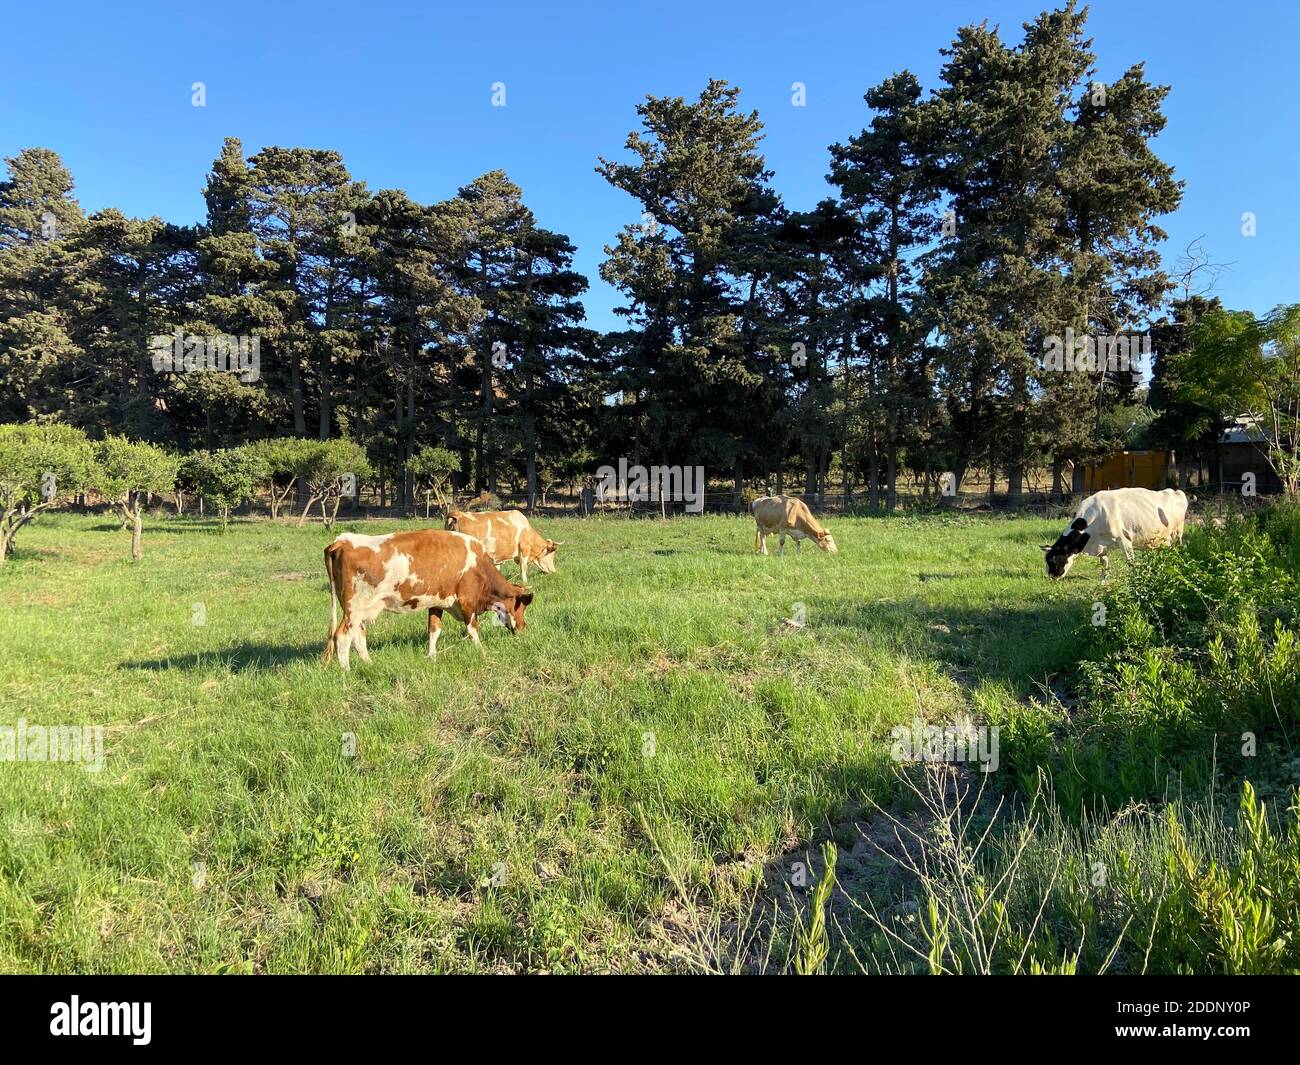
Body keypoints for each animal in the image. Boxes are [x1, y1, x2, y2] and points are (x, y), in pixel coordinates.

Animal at [323, 530, 533, 670]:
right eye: (522, 606)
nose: (524, 628)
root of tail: (342, 541)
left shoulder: (437, 602)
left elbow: (434, 630)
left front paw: (431, 656)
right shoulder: (467, 601)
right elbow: (473, 629)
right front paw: (482, 653)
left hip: (360, 611)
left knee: (358, 636)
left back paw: (369, 663)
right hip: (354, 609)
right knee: (343, 636)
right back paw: (347, 670)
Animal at [1042, 487, 1188, 579]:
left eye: (1052, 559)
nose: (1051, 576)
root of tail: (1176, 491)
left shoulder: (1124, 540)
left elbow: (1131, 562)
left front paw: (1136, 580)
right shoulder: (1101, 545)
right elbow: (1104, 563)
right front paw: (1102, 581)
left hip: (1178, 534)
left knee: (1178, 550)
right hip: (1160, 540)